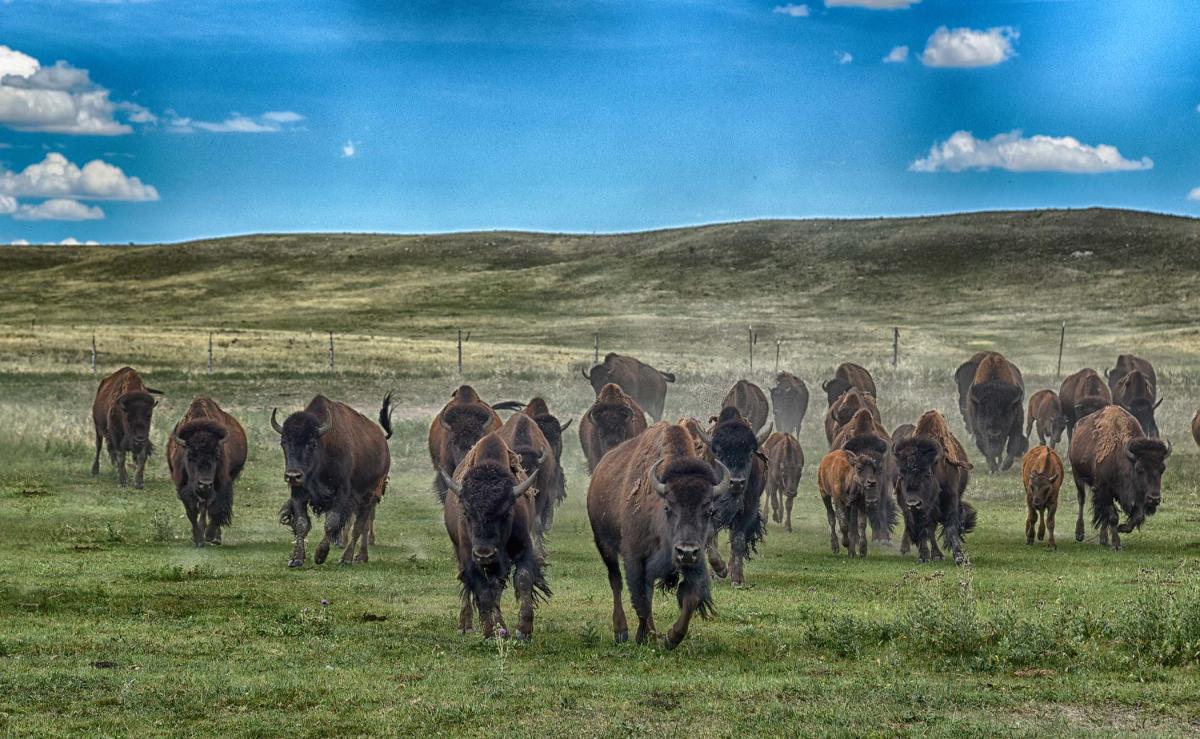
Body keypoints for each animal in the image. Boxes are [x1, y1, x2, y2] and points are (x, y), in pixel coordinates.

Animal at [167, 397, 247, 547]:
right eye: (190, 456)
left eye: (217, 455)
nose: (204, 484)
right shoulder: (182, 488)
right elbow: (191, 513)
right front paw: (198, 539)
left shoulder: (221, 484)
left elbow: (215, 509)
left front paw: (209, 536)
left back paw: (215, 537)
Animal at [273, 394, 392, 567]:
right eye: (283, 443)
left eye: (312, 443)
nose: (293, 475)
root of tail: (383, 441)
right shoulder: (299, 493)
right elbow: (301, 524)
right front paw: (296, 559)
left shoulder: (341, 494)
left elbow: (332, 523)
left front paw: (320, 555)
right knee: (361, 526)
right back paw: (360, 557)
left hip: (370, 495)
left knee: (359, 527)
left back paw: (348, 558)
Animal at [441, 432, 548, 639]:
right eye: (466, 512)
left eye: (506, 512)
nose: (484, 553)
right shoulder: (469, 557)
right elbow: (483, 592)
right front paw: (490, 631)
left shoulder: (523, 549)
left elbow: (523, 581)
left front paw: (523, 631)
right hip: (459, 552)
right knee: (468, 585)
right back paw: (465, 626)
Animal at [587, 422, 729, 647]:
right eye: (668, 507)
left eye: (710, 510)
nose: (686, 551)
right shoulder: (634, 558)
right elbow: (640, 598)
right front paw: (647, 637)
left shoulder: (694, 561)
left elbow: (691, 597)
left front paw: (672, 637)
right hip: (604, 545)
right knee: (616, 582)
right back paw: (621, 631)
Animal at [1068, 405, 1170, 550]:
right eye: (1139, 469)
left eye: (1162, 469)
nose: (1154, 498)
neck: (1123, 458)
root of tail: (1077, 426)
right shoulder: (1104, 490)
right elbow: (1113, 517)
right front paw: (1116, 544)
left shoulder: (1139, 496)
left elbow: (1137, 516)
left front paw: (1121, 528)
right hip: (1077, 475)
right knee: (1081, 500)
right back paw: (1080, 534)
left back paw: (1103, 539)